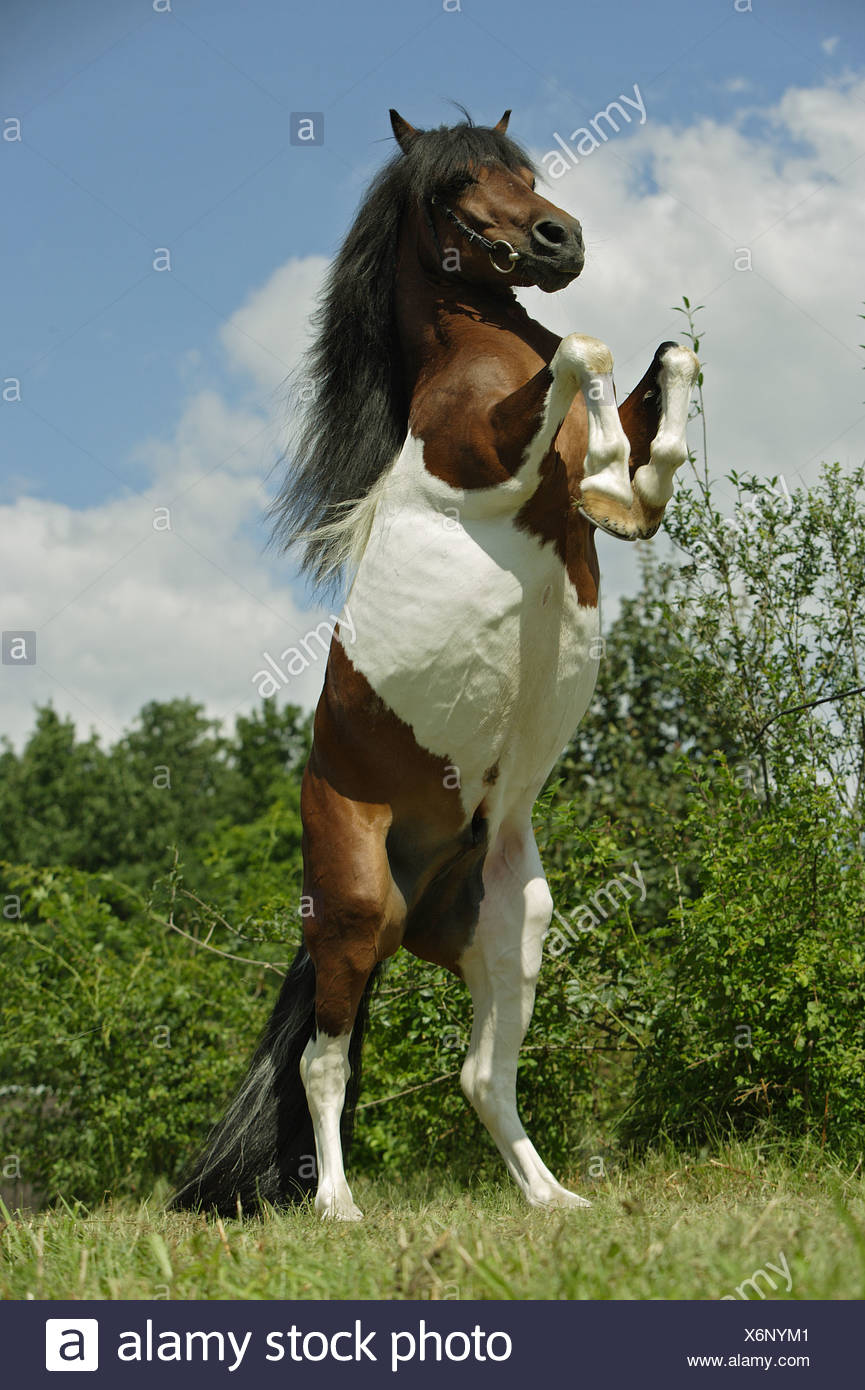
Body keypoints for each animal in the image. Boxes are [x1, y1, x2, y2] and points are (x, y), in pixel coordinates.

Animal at [171, 108, 698, 1220]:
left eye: (524, 171)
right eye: (457, 184)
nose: (559, 241)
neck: (480, 348)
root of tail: (411, 895)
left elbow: (665, 357)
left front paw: (632, 491)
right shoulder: (486, 456)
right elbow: (584, 350)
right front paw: (605, 484)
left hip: (510, 923)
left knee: (480, 1074)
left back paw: (552, 1200)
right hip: (354, 915)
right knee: (322, 1063)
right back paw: (337, 1207)